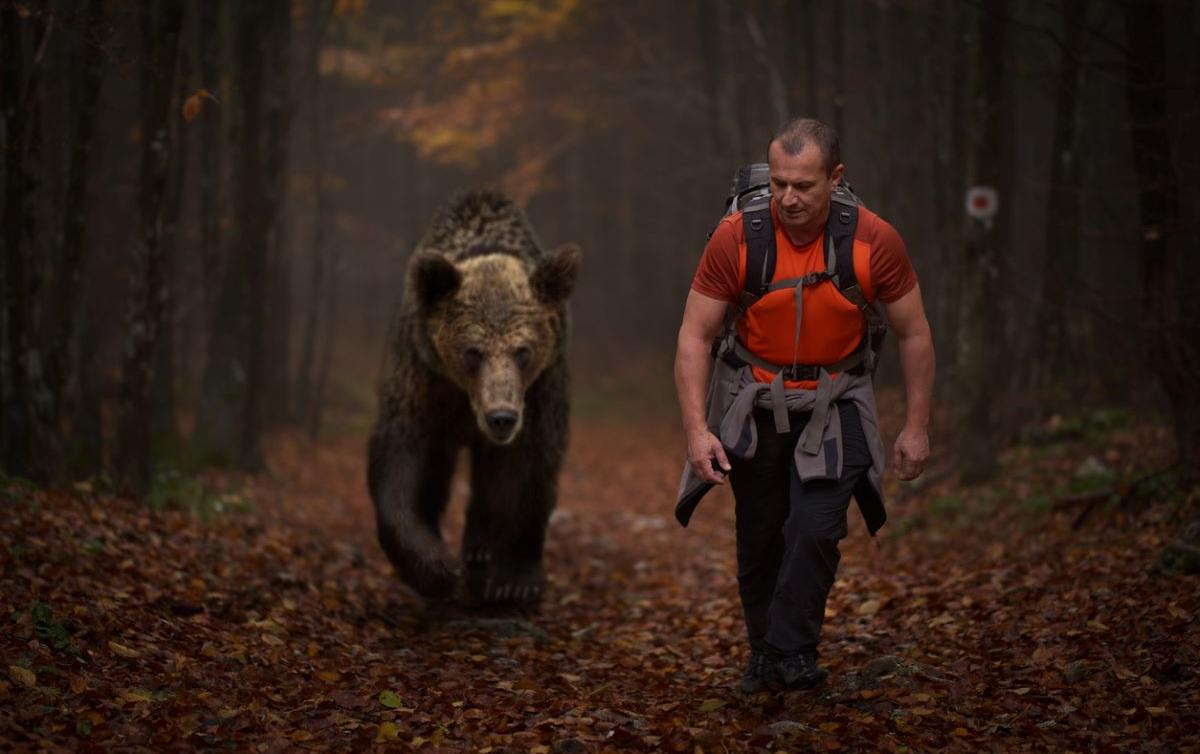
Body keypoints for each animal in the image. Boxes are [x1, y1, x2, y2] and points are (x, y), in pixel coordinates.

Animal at [367, 189, 581, 606]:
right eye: (472, 351)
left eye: (522, 350)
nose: (501, 417)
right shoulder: (424, 376)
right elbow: (404, 458)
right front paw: (434, 567)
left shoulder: (540, 388)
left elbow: (527, 466)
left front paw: (515, 580)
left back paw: (480, 548)